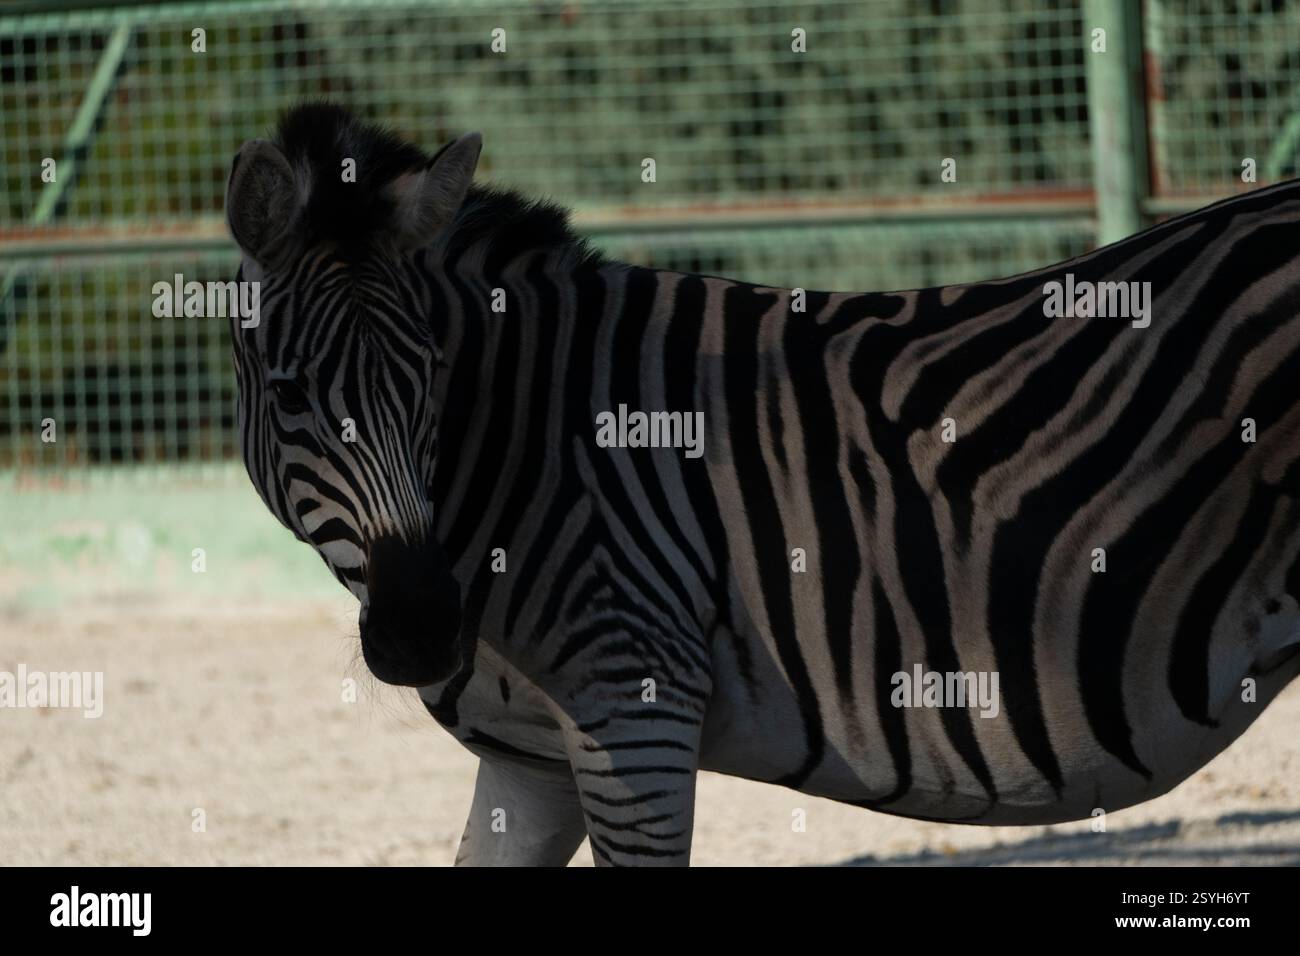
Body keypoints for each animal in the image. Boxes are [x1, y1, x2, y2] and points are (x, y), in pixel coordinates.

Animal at [225, 102, 1300, 866]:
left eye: (435, 378)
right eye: (289, 392)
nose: (422, 628)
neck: (523, 451)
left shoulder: (637, 712)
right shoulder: (532, 764)